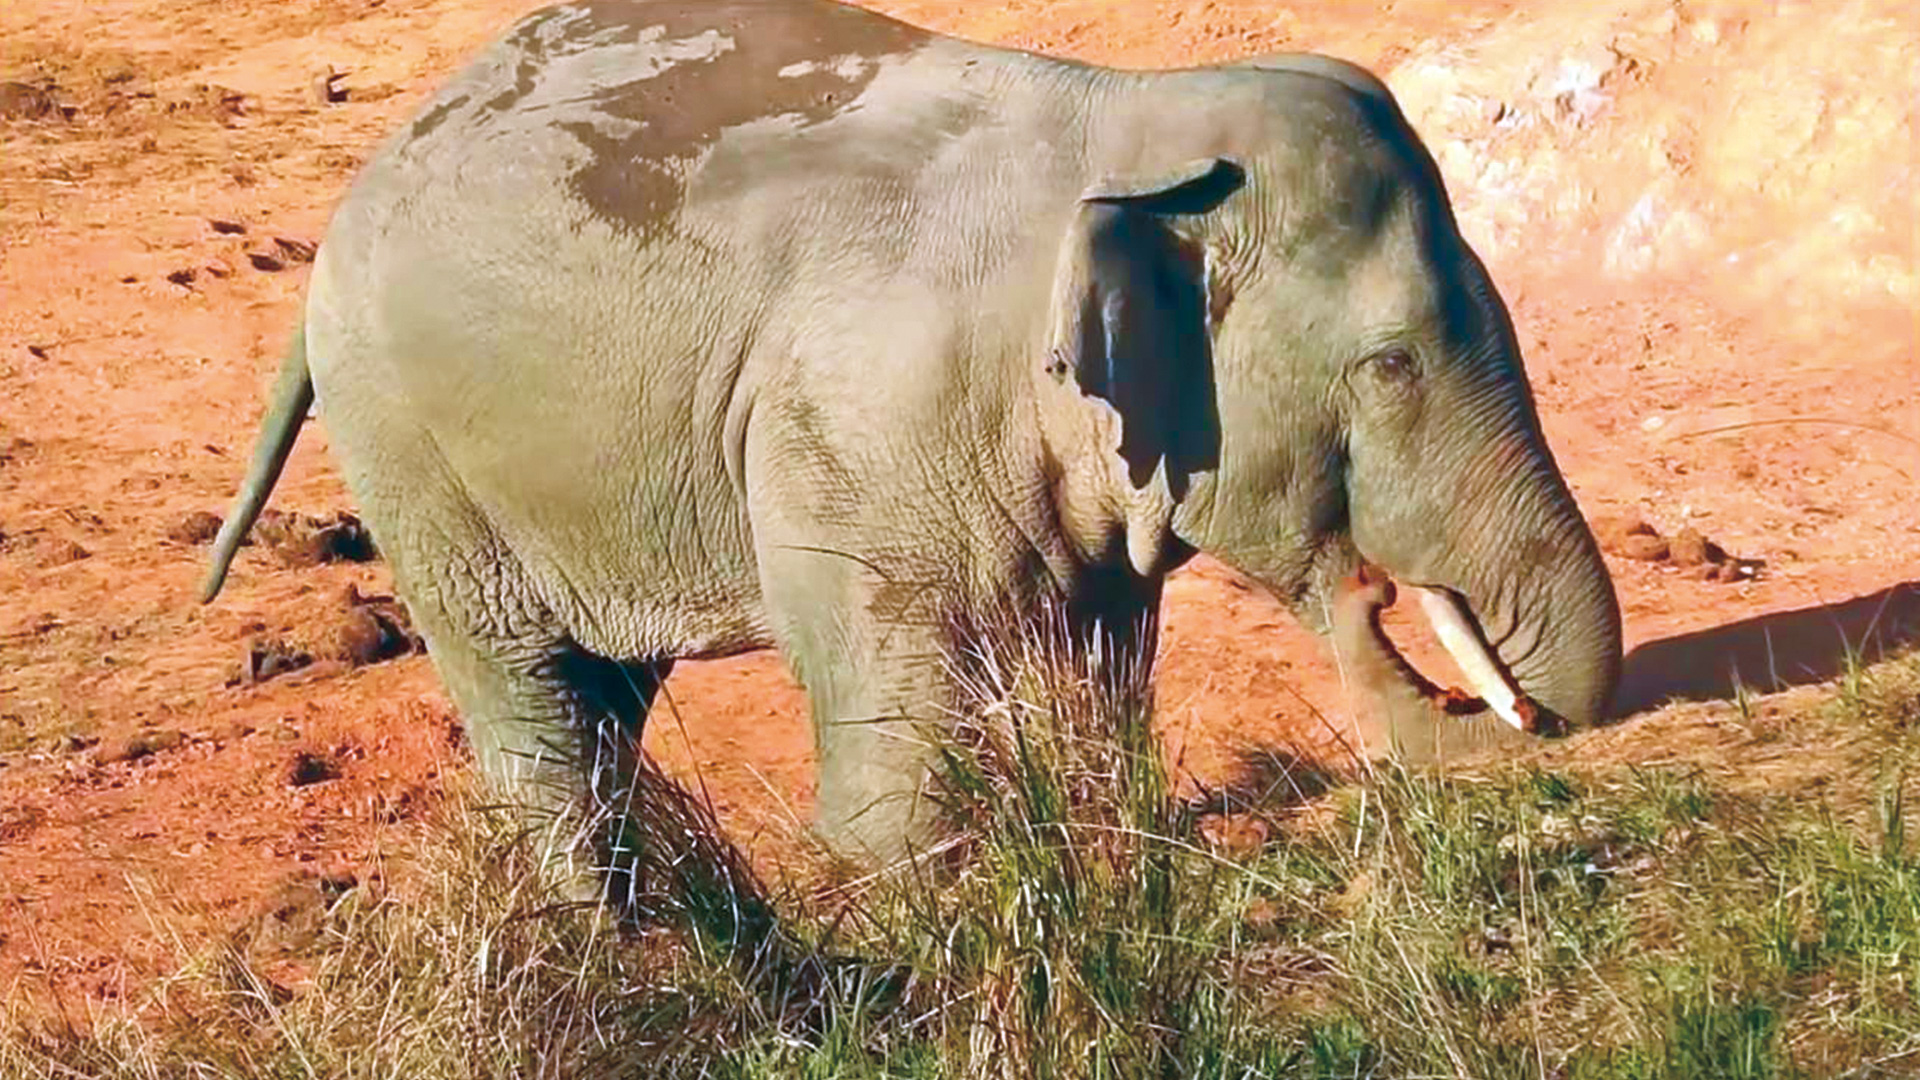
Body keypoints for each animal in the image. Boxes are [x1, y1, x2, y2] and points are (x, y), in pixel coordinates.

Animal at [200, 0, 1622, 882]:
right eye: (1391, 367)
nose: (1534, 727)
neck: (1128, 123)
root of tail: (381, 156)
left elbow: (1093, 664)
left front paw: (1104, 847)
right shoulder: (860, 427)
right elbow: (905, 712)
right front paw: (908, 895)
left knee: (601, 700)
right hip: (414, 459)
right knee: (532, 699)